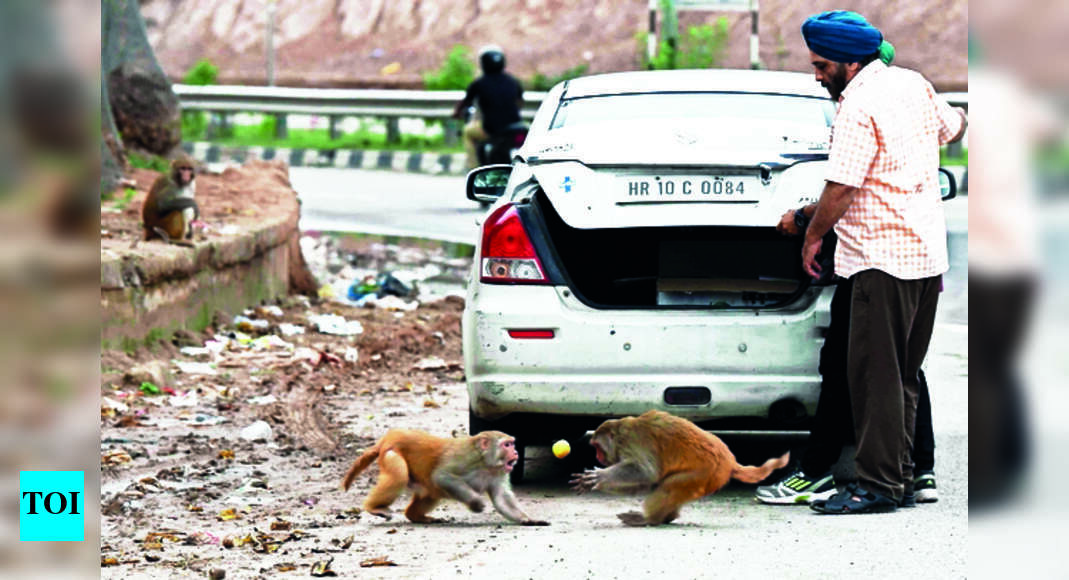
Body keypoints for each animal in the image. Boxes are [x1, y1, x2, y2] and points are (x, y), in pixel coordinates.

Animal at [340, 429, 549, 526]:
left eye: (512, 444)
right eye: (507, 445)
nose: (515, 452)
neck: (485, 464)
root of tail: (390, 436)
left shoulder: (497, 473)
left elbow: (501, 499)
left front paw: (528, 520)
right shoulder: (464, 458)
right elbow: (442, 476)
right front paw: (475, 502)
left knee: (431, 493)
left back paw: (415, 516)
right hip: (391, 454)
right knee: (399, 475)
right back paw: (374, 508)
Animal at [570, 410, 789, 526]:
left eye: (597, 448)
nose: (598, 456)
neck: (619, 433)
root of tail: (730, 460)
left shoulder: (629, 441)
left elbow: (646, 472)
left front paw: (599, 477)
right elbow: (646, 481)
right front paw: (595, 483)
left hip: (705, 473)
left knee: (669, 486)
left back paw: (649, 519)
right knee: (663, 485)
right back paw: (667, 517)